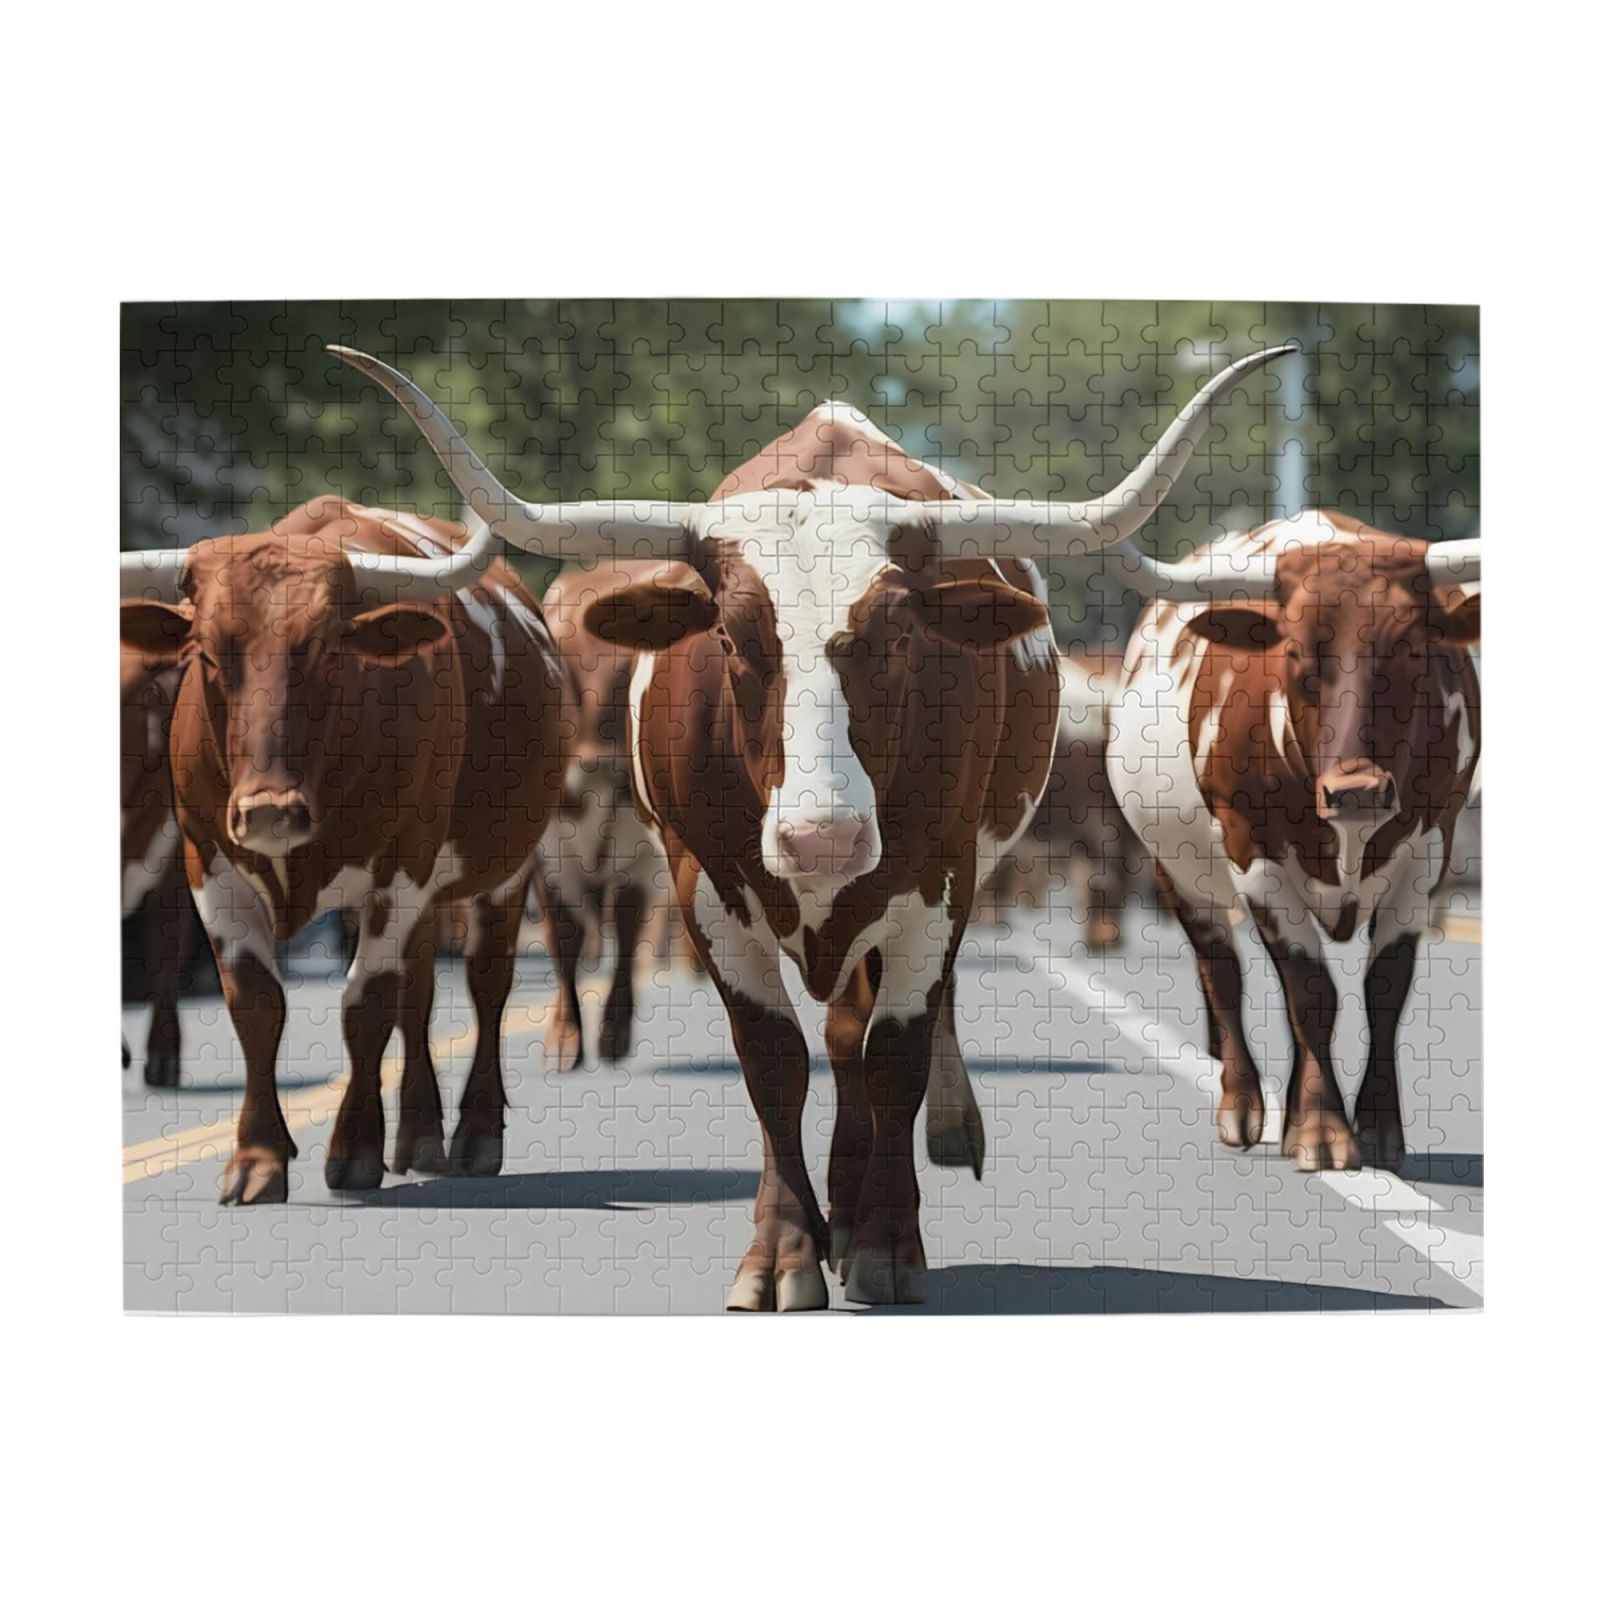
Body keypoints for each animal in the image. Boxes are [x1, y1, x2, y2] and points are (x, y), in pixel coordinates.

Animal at [119, 496, 572, 1203]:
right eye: (209, 656)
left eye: (328, 650)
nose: (269, 809)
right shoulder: (209, 863)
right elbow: (257, 1003)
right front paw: (257, 1159)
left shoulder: (401, 867)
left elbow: (367, 1005)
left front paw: (354, 1150)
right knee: (419, 992)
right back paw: (418, 1136)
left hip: (506, 864)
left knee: (485, 984)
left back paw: (474, 1135)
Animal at [536, 564, 676, 1070]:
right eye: (565, 675)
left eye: (625, 676)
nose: (594, 762)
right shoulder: (545, 854)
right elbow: (564, 935)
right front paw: (566, 1037)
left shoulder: (641, 859)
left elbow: (628, 929)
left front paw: (613, 1032)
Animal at [1107, 511, 1481, 1171]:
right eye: (1297, 651)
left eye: (1413, 648)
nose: (1357, 791)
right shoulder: (1251, 854)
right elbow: (1311, 993)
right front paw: (1324, 1133)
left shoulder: (1430, 848)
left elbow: (1384, 989)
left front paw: (1378, 1130)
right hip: (1175, 872)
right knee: (1223, 973)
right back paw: (1243, 1110)